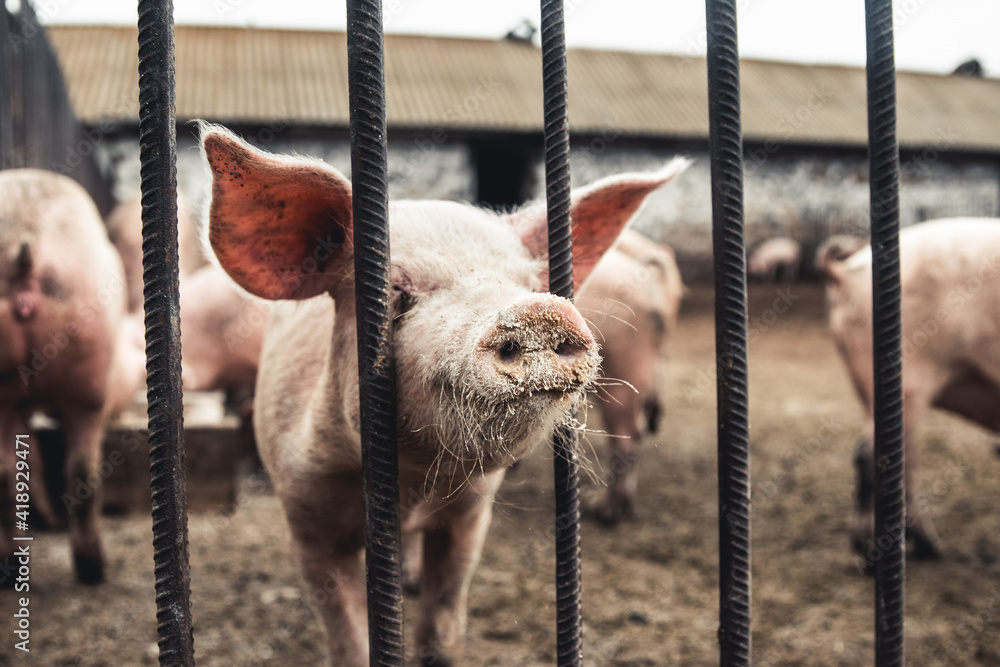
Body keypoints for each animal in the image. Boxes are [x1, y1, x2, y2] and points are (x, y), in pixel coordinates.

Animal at [0, 169, 130, 584]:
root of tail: (22, 258)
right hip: (89, 374)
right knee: (81, 466)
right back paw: (94, 570)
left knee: (7, 472)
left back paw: (13, 567)